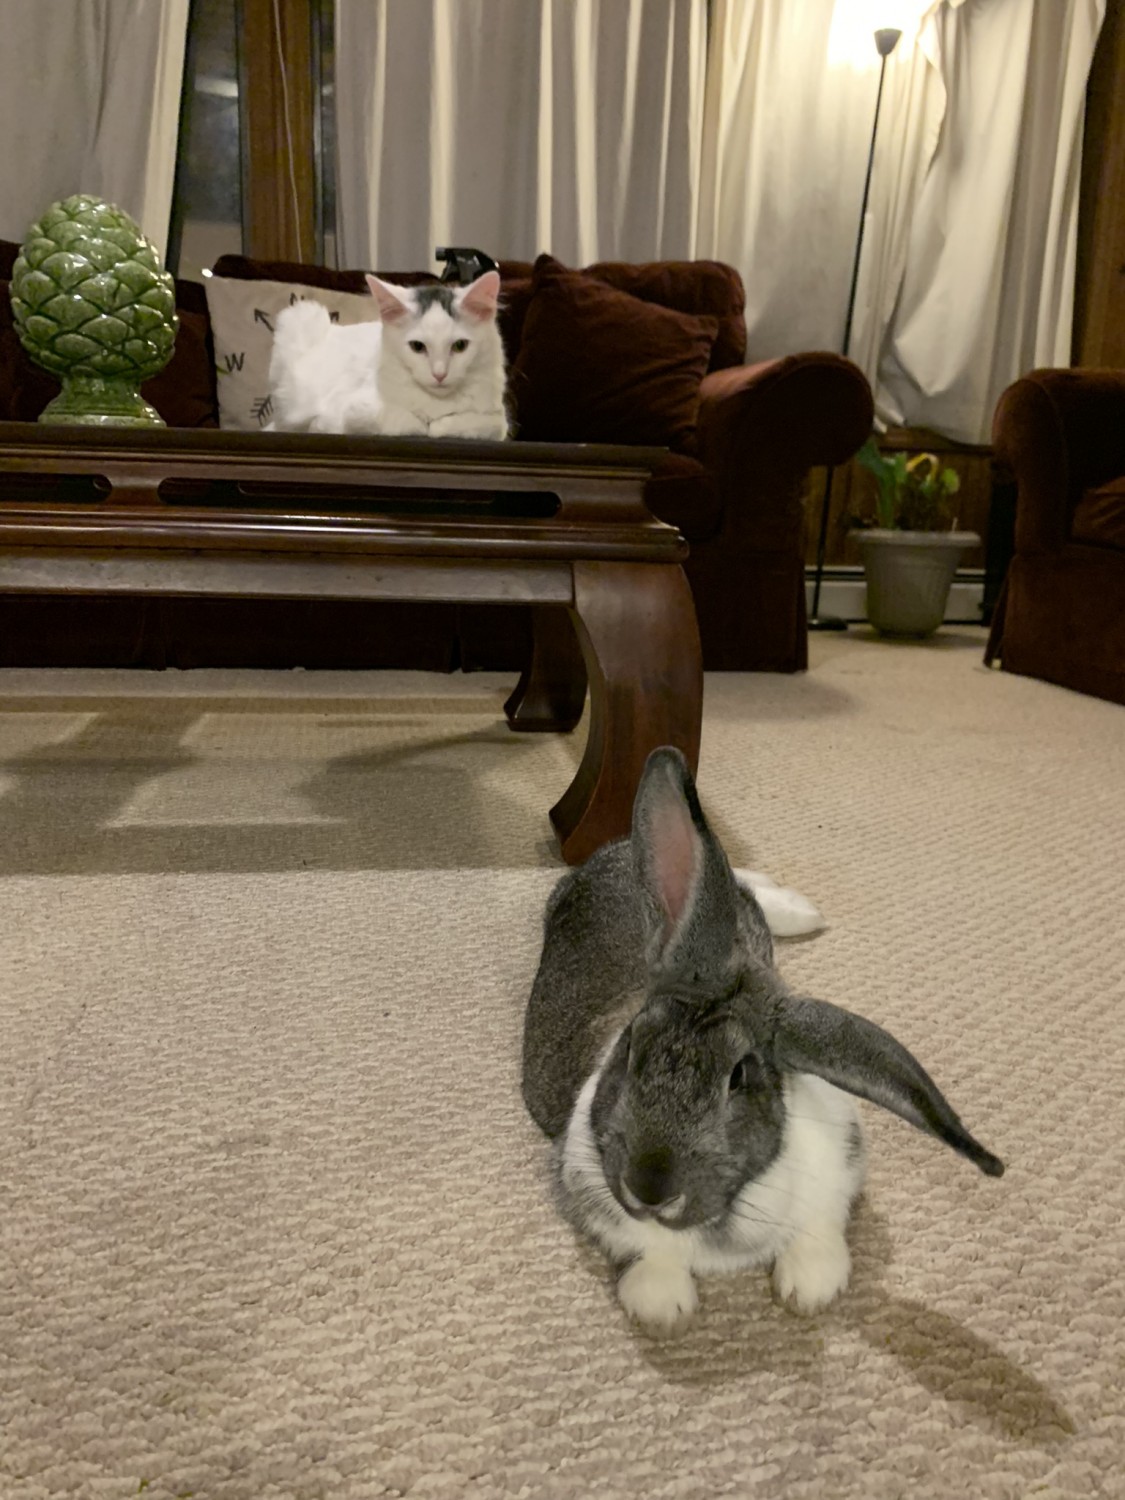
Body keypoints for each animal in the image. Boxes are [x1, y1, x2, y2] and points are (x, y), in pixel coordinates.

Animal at [521, 747, 1004, 1338]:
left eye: (739, 1077)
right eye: (631, 1046)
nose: (649, 1188)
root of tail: (615, 852)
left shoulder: (839, 1168)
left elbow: (821, 1226)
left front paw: (811, 1287)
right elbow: (644, 1254)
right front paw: (664, 1307)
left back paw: (803, 909)